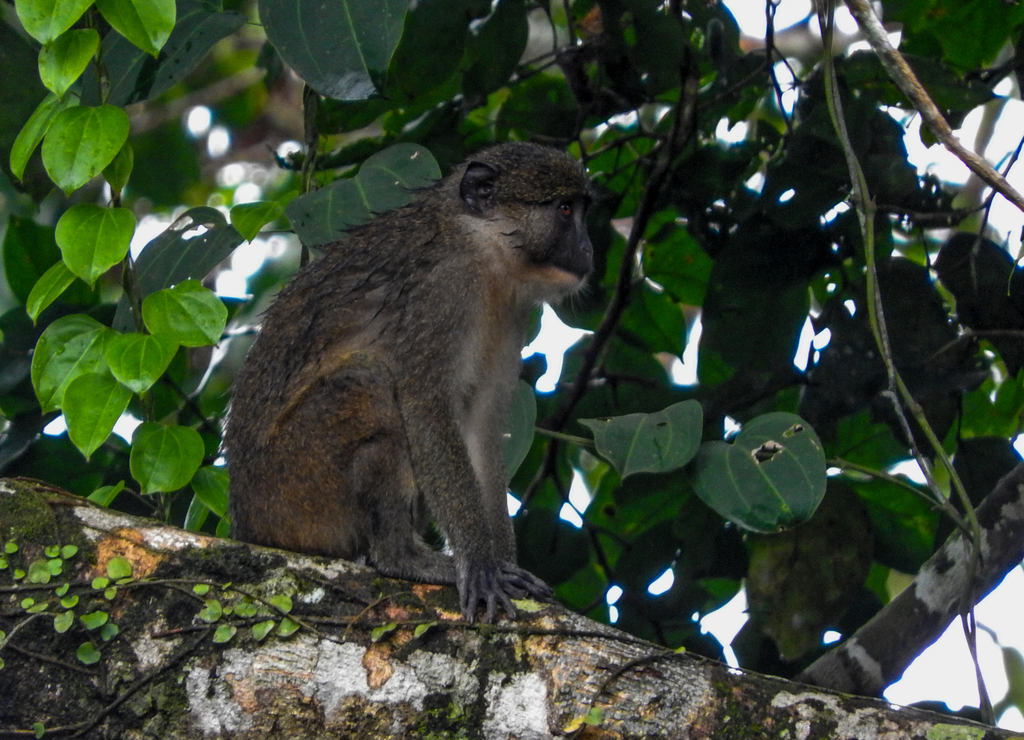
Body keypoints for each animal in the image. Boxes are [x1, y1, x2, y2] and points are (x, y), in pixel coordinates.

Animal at [225, 142, 593, 623]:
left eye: (583, 210)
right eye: (565, 209)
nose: (589, 249)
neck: (481, 245)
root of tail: (247, 523)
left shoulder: (511, 314)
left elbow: (481, 426)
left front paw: (501, 562)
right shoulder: (444, 292)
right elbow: (425, 408)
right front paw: (482, 565)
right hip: (294, 487)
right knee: (370, 380)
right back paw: (399, 556)